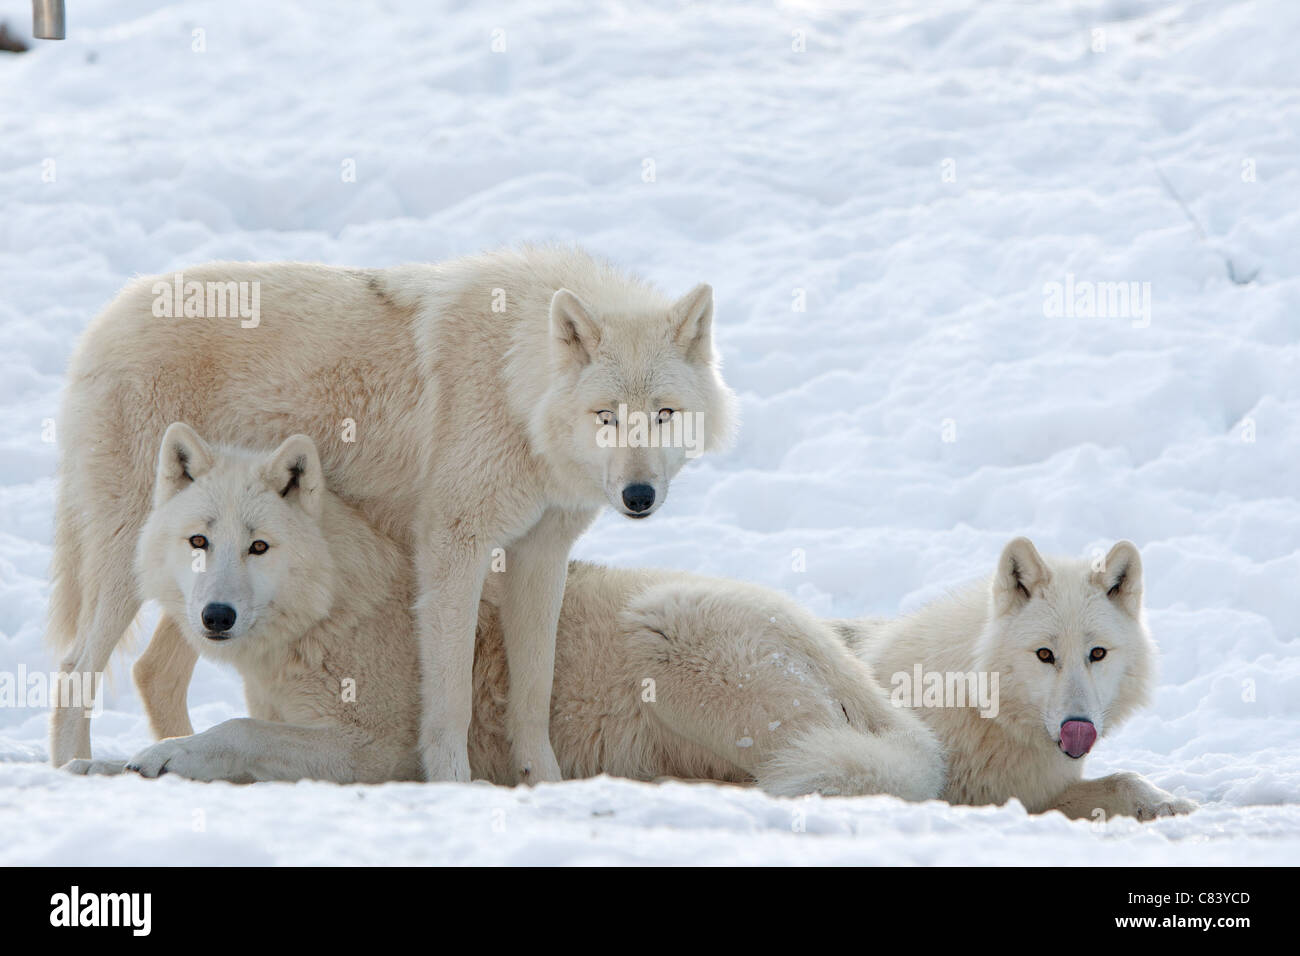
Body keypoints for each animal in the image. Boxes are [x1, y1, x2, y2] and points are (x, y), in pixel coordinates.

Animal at [47, 246, 737, 781]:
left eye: (664, 414)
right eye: (607, 416)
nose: (639, 496)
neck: (515, 382)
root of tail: (106, 317)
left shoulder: (540, 552)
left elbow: (534, 694)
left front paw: (544, 784)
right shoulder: (453, 548)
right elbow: (451, 698)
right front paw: (454, 785)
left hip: (209, 592)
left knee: (153, 671)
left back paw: (173, 753)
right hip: (137, 565)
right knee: (74, 668)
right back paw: (71, 767)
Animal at [71, 425, 943, 801]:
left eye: (258, 546)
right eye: (198, 540)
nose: (215, 616)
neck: (334, 613)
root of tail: (855, 672)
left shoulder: (374, 748)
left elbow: (235, 731)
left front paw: (168, 757)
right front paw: (107, 765)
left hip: (667, 631)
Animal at [835, 537, 1197, 821]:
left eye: (1097, 653)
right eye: (1044, 655)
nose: (1078, 726)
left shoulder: (1037, 795)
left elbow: (1125, 779)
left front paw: (1167, 803)